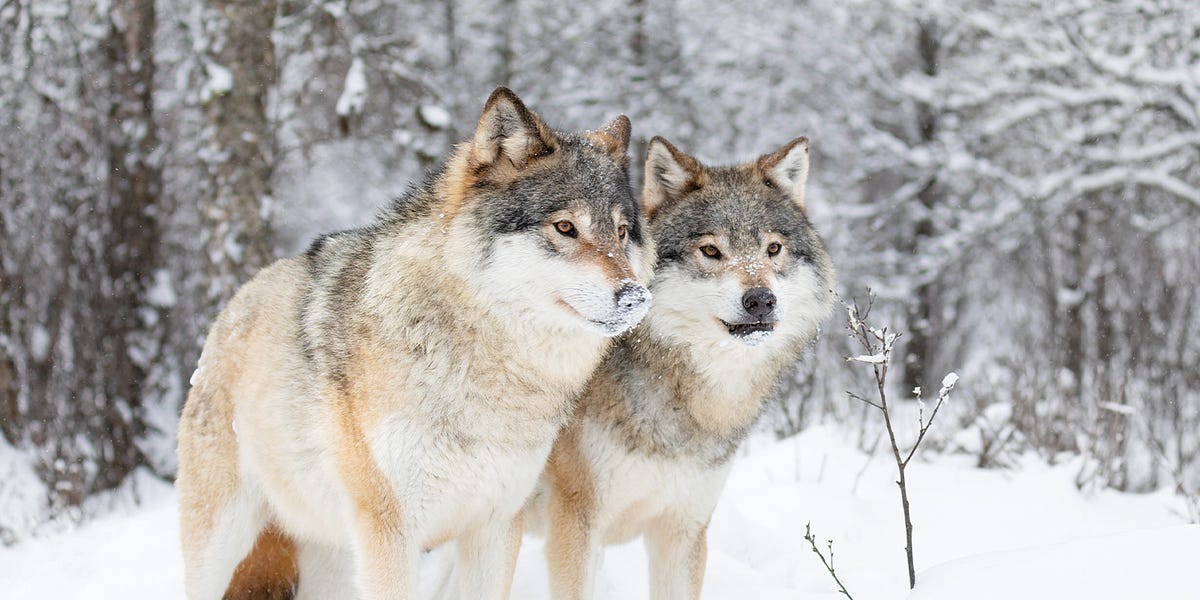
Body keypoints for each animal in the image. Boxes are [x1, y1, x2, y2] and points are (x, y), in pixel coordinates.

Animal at [175, 87, 654, 600]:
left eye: (621, 232)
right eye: (565, 227)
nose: (636, 298)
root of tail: (236, 303)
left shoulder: (496, 525)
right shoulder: (393, 533)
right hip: (222, 543)